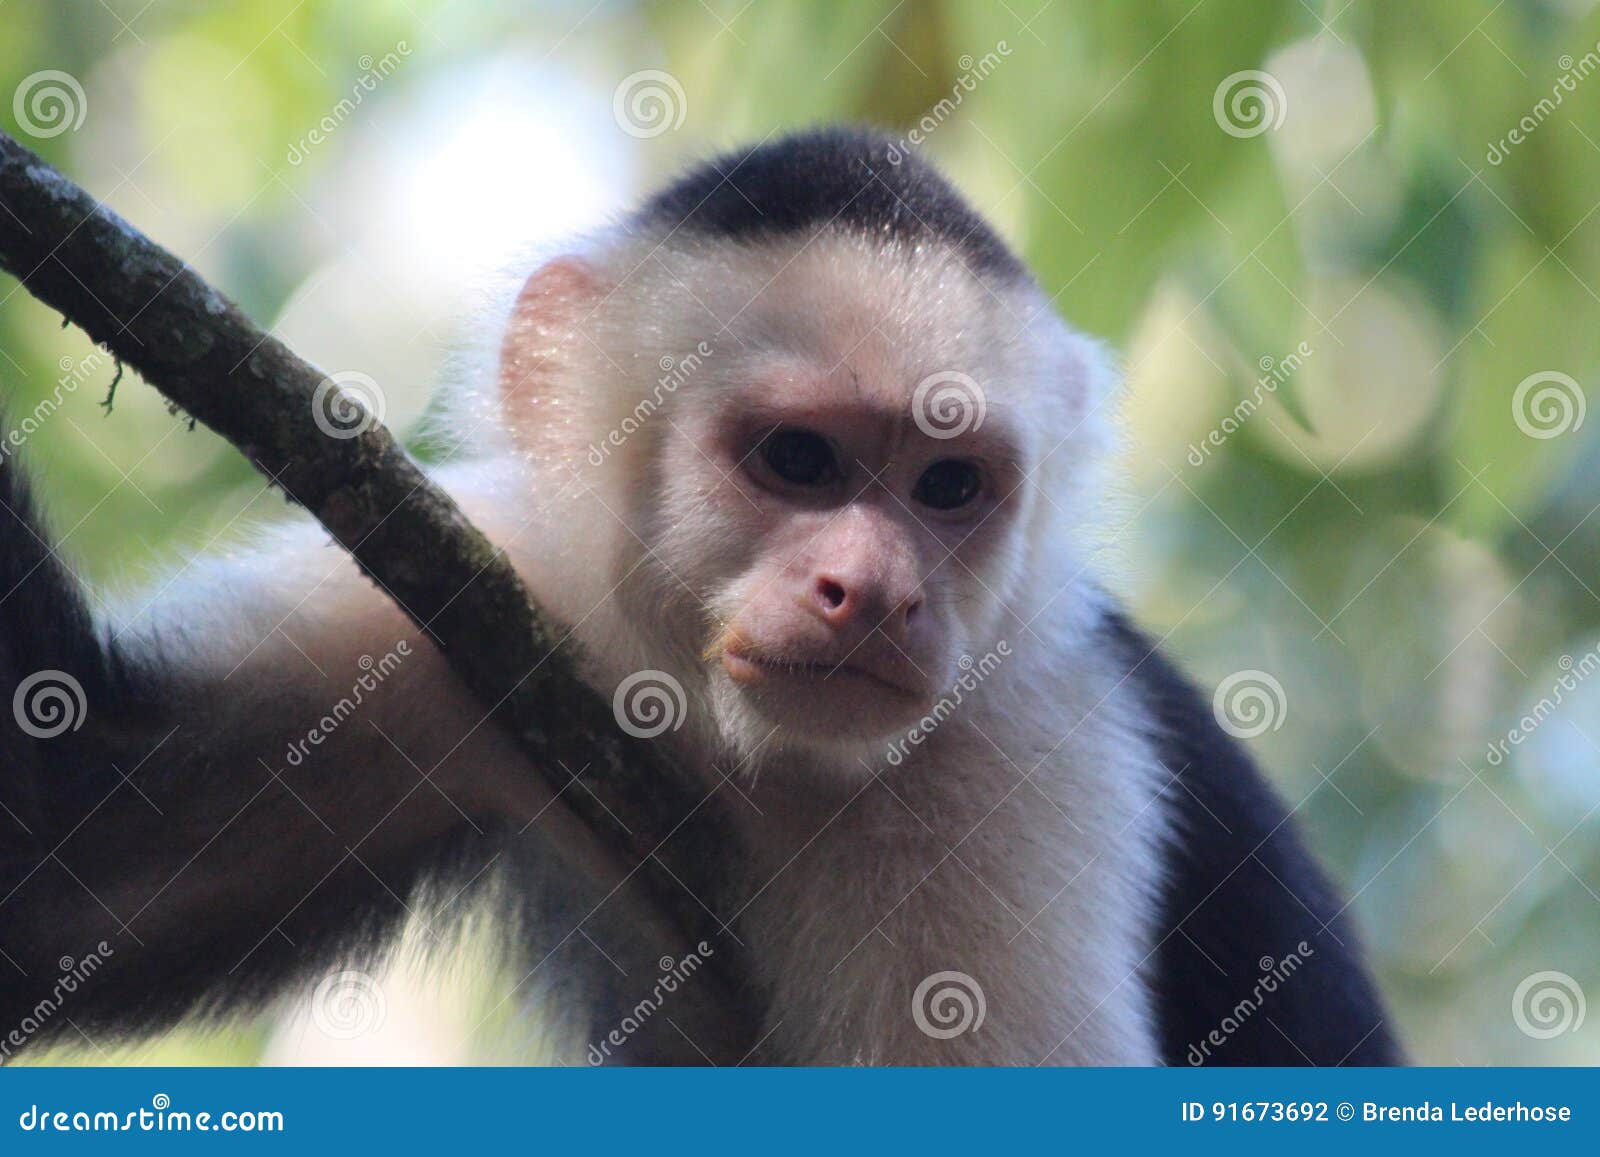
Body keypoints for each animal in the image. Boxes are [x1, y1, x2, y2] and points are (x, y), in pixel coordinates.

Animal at [0, 126, 1398, 1066]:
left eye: (949, 484)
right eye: (798, 459)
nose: (873, 591)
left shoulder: (1002, 775)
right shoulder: (477, 609)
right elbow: (67, 855)